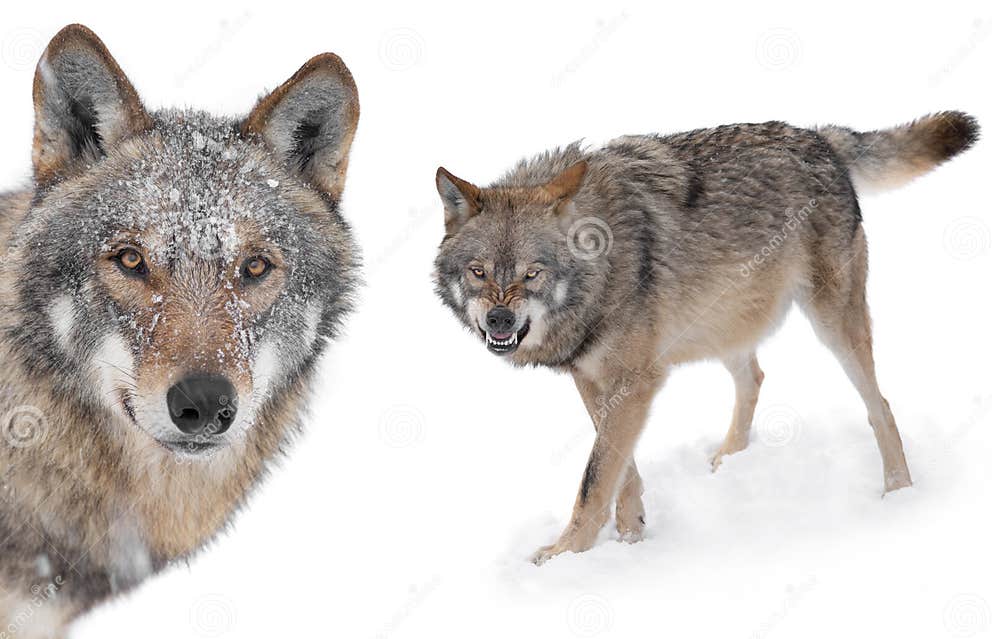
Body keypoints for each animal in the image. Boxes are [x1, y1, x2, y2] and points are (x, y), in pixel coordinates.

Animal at [433, 111, 978, 564]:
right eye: (479, 272)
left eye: (532, 274)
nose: (499, 321)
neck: (600, 263)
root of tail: (818, 136)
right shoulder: (594, 380)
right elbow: (620, 470)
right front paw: (631, 537)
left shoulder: (637, 380)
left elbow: (595, 478)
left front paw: (566, 555)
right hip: (721, 322)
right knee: (755, 375)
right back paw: (729, 459)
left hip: (831, 323)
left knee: (878, 404)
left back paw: (898, 492)